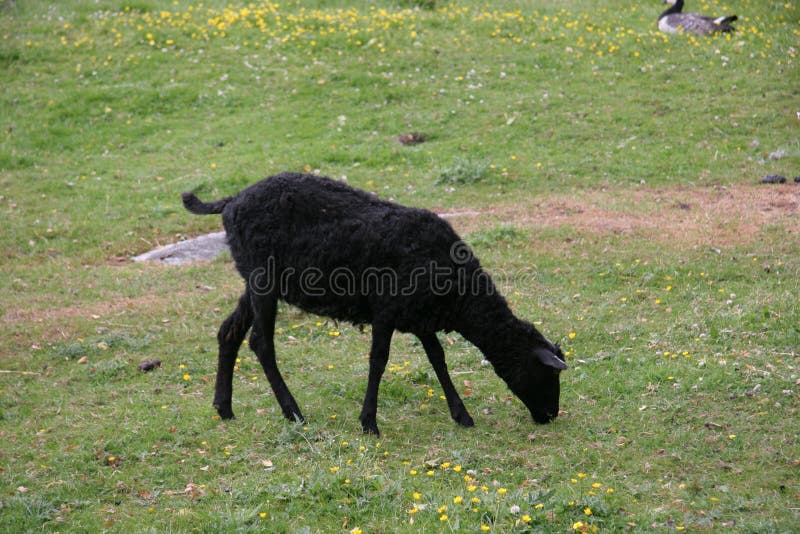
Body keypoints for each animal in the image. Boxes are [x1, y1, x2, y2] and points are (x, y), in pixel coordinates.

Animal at [183, 172, 566, 435]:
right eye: (548, 373)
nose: (550, 416)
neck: (459, 294)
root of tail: (232, 200)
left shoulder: (420, 316)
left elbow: (438, 359)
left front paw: (462, 415)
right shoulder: (386, 310)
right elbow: (379, 362)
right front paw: (369, 423)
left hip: (255, 281)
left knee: (228, 332)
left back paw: (224, 407)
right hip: (263, 280)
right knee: (261, 343)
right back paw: (293, 412)